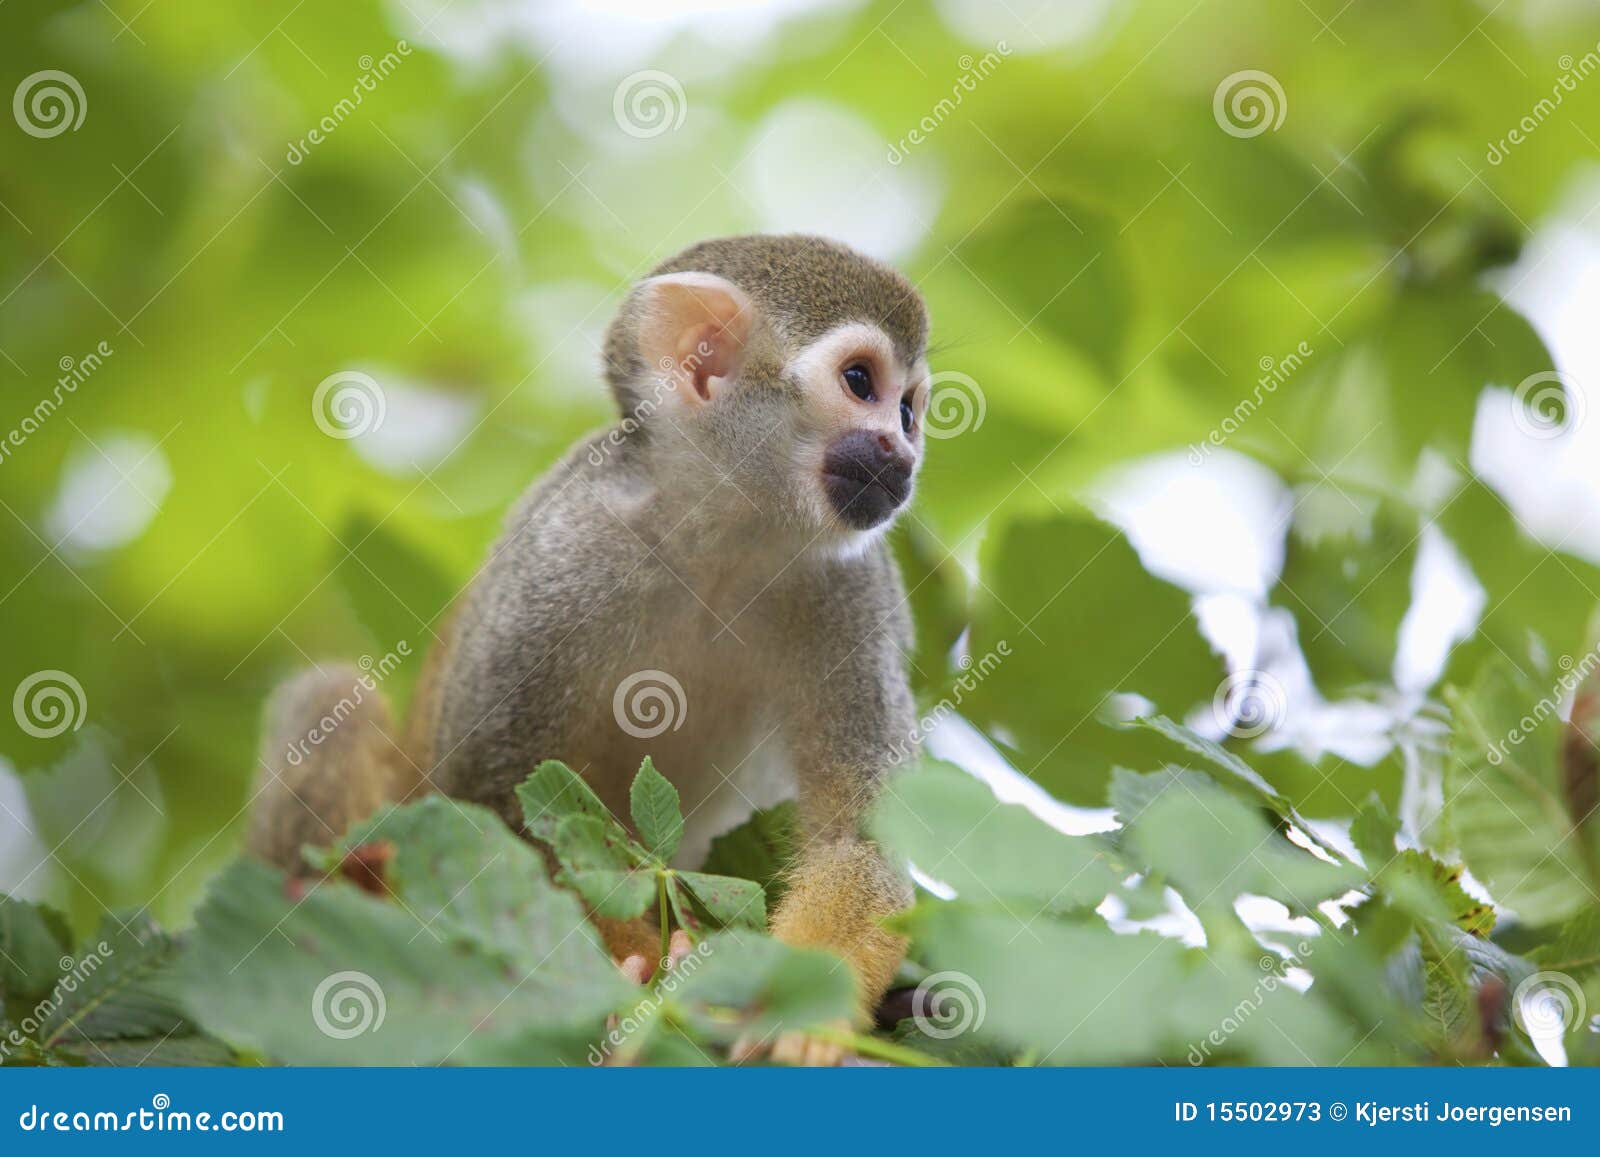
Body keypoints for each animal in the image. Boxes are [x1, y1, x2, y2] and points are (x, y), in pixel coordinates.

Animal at [247, 234, 933, 1064]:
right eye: (862, 382)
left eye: (909, 409)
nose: (902, 453)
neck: (721, 543)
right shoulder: (561, 553)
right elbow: (491, 810)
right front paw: (650, 968)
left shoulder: (856, 589)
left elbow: (856, 839)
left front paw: (803, 1010)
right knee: (327, 701)